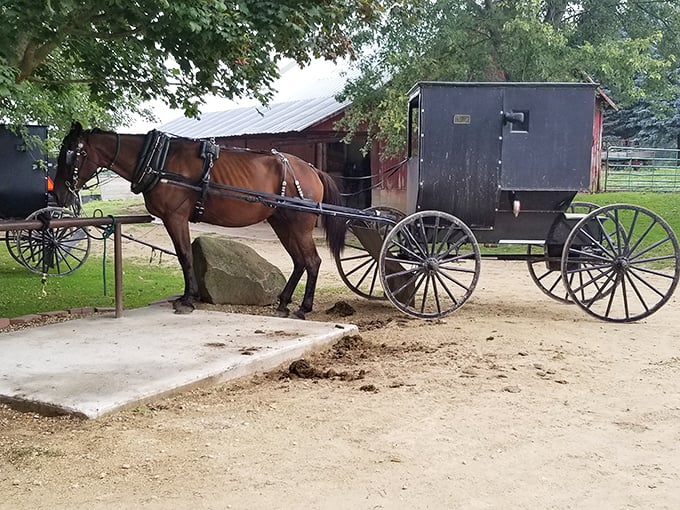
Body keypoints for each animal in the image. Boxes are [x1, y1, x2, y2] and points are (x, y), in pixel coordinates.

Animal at [53, 122, 347, 319]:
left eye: (69, 154)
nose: (59, 194)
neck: (159, 160)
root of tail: (311, 169)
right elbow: (185, 255)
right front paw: (189, 296)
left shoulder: (175, 217)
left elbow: (184, 255)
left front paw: (187, 299)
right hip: (282, 223)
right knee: (299, 262)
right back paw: (284, 302)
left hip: (299, 225)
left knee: (312, 261)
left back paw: (303, 308)